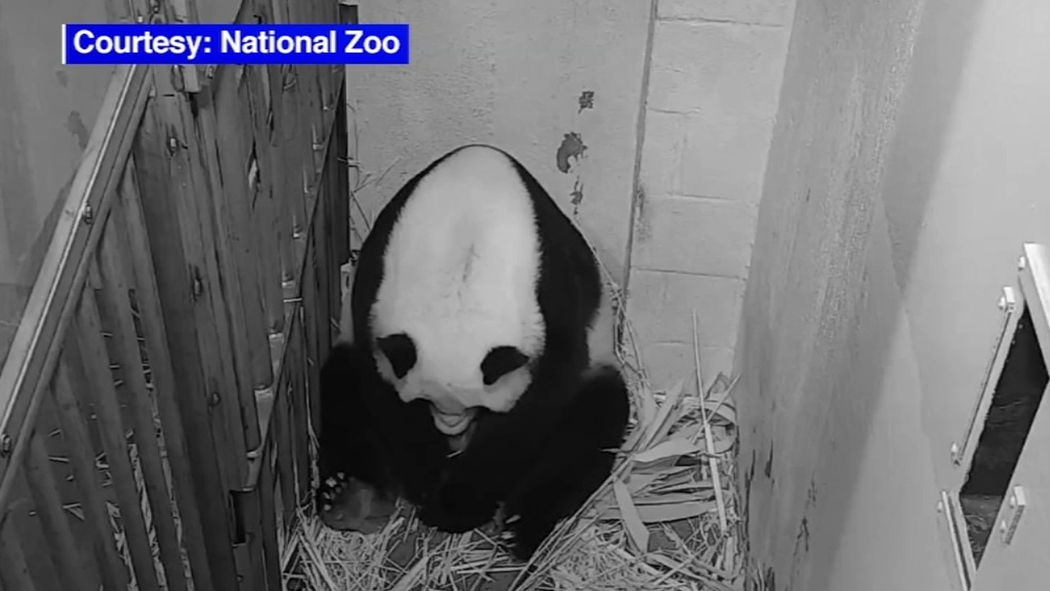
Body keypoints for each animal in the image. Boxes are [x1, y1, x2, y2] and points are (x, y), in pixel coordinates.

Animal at [315, 143, 631, 560]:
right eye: (426, 401)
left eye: (478, 405)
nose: (452, 428)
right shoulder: (374, 287)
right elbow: (381, 392)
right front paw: (427, 479)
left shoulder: (553, 295)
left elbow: (539, 404)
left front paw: (456, 505)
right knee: (341, 393)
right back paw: (352, 498)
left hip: (599, 367)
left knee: (591, 426)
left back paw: (521, 527)